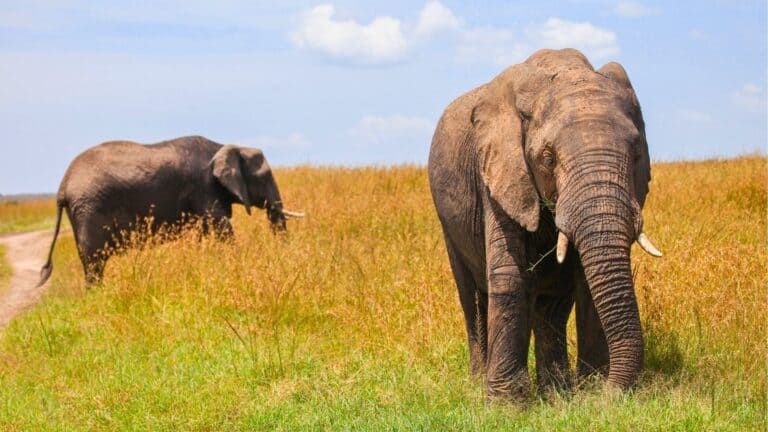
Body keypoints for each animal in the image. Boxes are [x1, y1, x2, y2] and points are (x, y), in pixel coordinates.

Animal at [37, 135, 303, 286]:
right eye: (265, 177)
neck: (228, 147)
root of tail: (62, 186)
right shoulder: (204, 188)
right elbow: (222, 229)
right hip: (89, 210)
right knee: (94, 261)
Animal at [428, 48, 662, 399]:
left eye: (636, 153)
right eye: (548, 159)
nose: (607, 395)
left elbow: (586, 281)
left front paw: (589, 390)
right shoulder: (501, 172)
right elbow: (510, 274)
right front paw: (506, 404)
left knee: (551, 305)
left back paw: (555, 393)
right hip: (448, 222)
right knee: (472, 298)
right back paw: (479, 383)